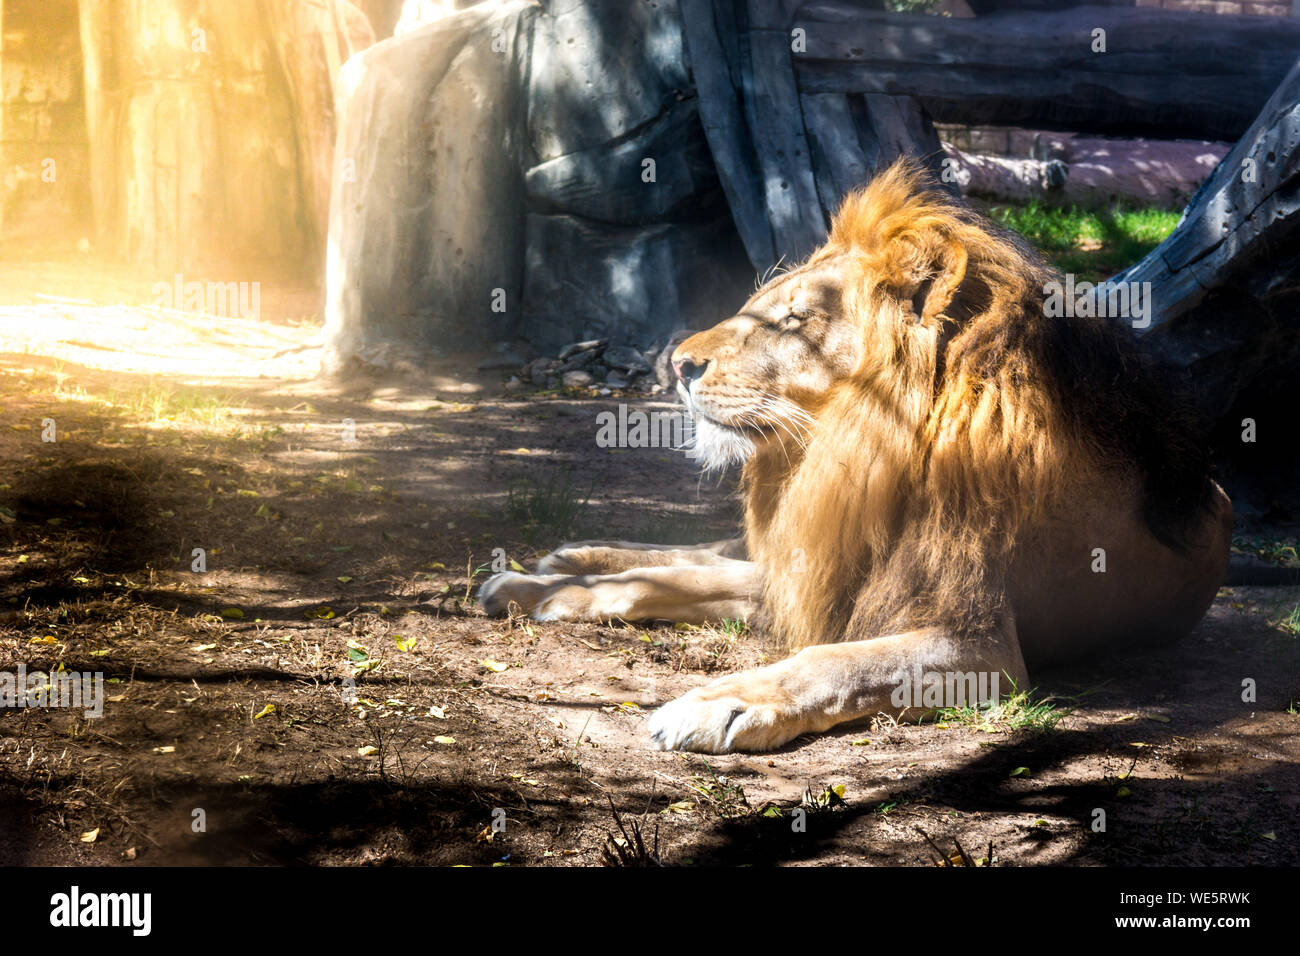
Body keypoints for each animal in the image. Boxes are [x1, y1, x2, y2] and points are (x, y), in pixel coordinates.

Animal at [480, 160, 1232, 754]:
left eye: (795, 319)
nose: (679, 364)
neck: (859, 452)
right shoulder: (825, 569)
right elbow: (688, 582)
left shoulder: (980, 647)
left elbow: (830, 659)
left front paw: (721, 702)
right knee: (698, 558)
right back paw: (551, 572)